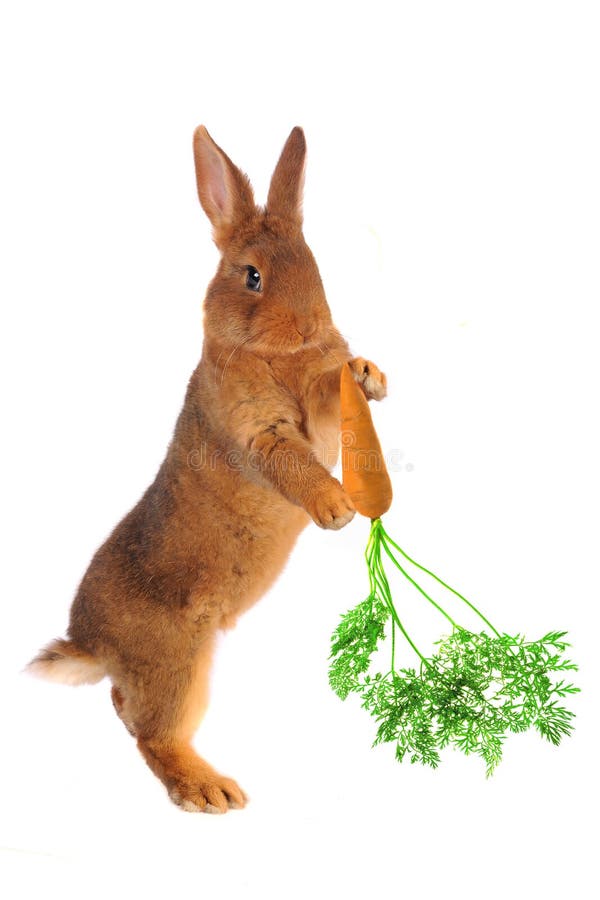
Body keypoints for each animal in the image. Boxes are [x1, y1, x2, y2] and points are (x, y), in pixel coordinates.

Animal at [27, 125, 387, 814]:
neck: (275, 353)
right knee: (153, 736)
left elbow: (331, 394)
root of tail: (90, 644)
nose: (308, 324)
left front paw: (369, 376)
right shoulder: (259, 434)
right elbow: (296, 465)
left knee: (123, 709)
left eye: (314, 263)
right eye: (252, 276)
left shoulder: (320, 409)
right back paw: (211, 791)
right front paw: (336, 509)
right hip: (179, 664)